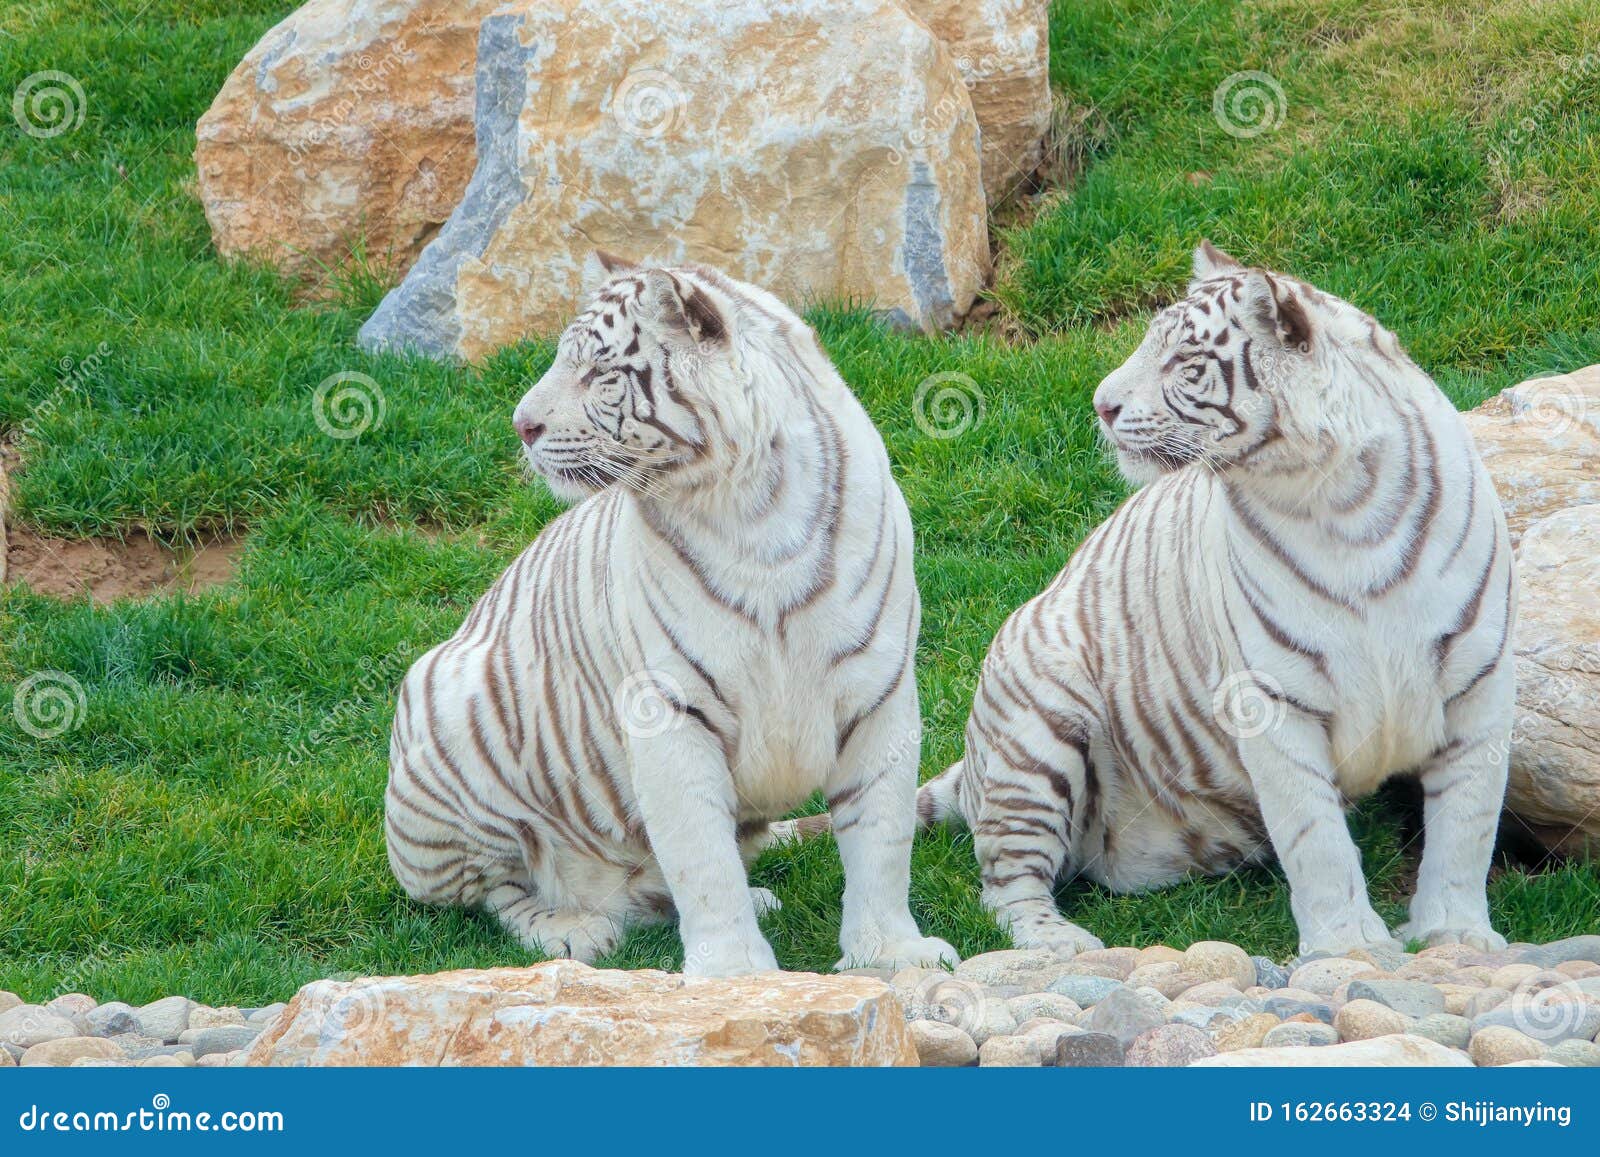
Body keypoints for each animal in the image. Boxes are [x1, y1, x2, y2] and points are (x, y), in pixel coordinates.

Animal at [384, 254, 958, 977]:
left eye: (599, 374)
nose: (521, 426)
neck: (751, 512)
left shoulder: (880, 695)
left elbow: (881, 840)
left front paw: (892, 953)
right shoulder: (668, 709)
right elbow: (702, 857)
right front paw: (735, 973)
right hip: (447, 706)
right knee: (498, 889)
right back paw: (571, 929)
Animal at [780, 242, 1517, 959]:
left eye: (1186, 364)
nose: (1100, 404)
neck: (1340, 504)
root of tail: (972, 767)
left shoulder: (1480, 687)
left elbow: (1466, 828)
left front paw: (1456, 935)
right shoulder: (1272, 698)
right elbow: (1319, 838)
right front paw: (1350, 945)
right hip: (1038, 724)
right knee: (1005, 884)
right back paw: (1060, 942)